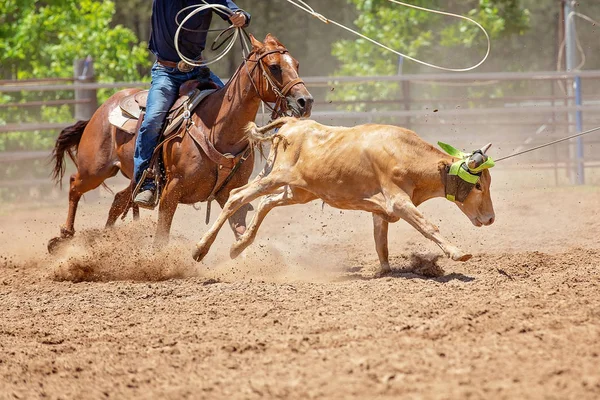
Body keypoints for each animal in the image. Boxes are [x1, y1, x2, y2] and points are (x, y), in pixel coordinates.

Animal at [48, 35, 312, 253]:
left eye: (297, 64)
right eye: (274, 66)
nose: (305, 101)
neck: (216, 129)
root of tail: (103, 108)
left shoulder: (230, 190)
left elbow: (239, 229)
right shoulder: (171, 191)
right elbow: (161, 236)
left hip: (133, 177)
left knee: (119, 200)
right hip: (95, 169)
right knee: (74, 185)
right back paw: (64, 237)